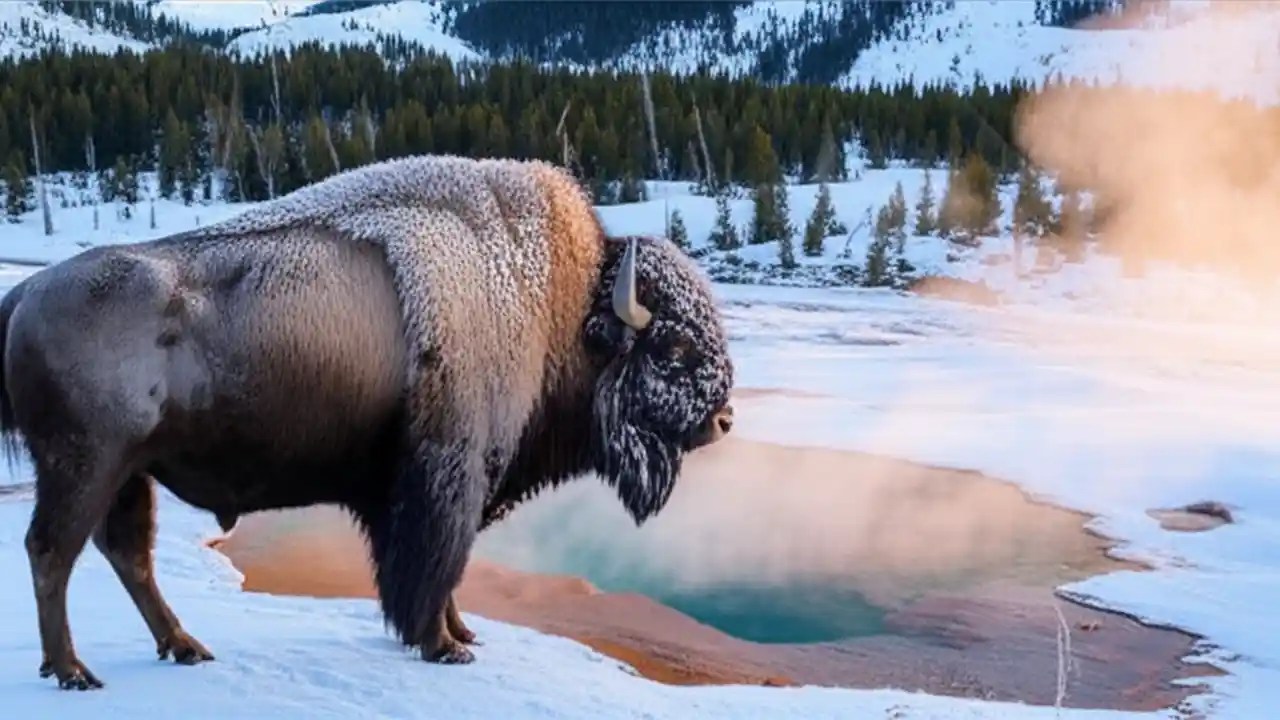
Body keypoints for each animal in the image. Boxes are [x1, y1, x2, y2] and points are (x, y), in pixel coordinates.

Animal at [0, 154, 735, 690]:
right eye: (672, 348)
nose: (725, 419)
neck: (560, 308)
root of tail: (27, 292)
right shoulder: (446, 476)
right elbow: (434, 565)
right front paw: (445, 647)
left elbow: (443, 573)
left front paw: (463, 635)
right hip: (85, 465)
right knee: (52, 551)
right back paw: (73, 672)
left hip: (131, 472)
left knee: (126, 555)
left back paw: (183, 648)